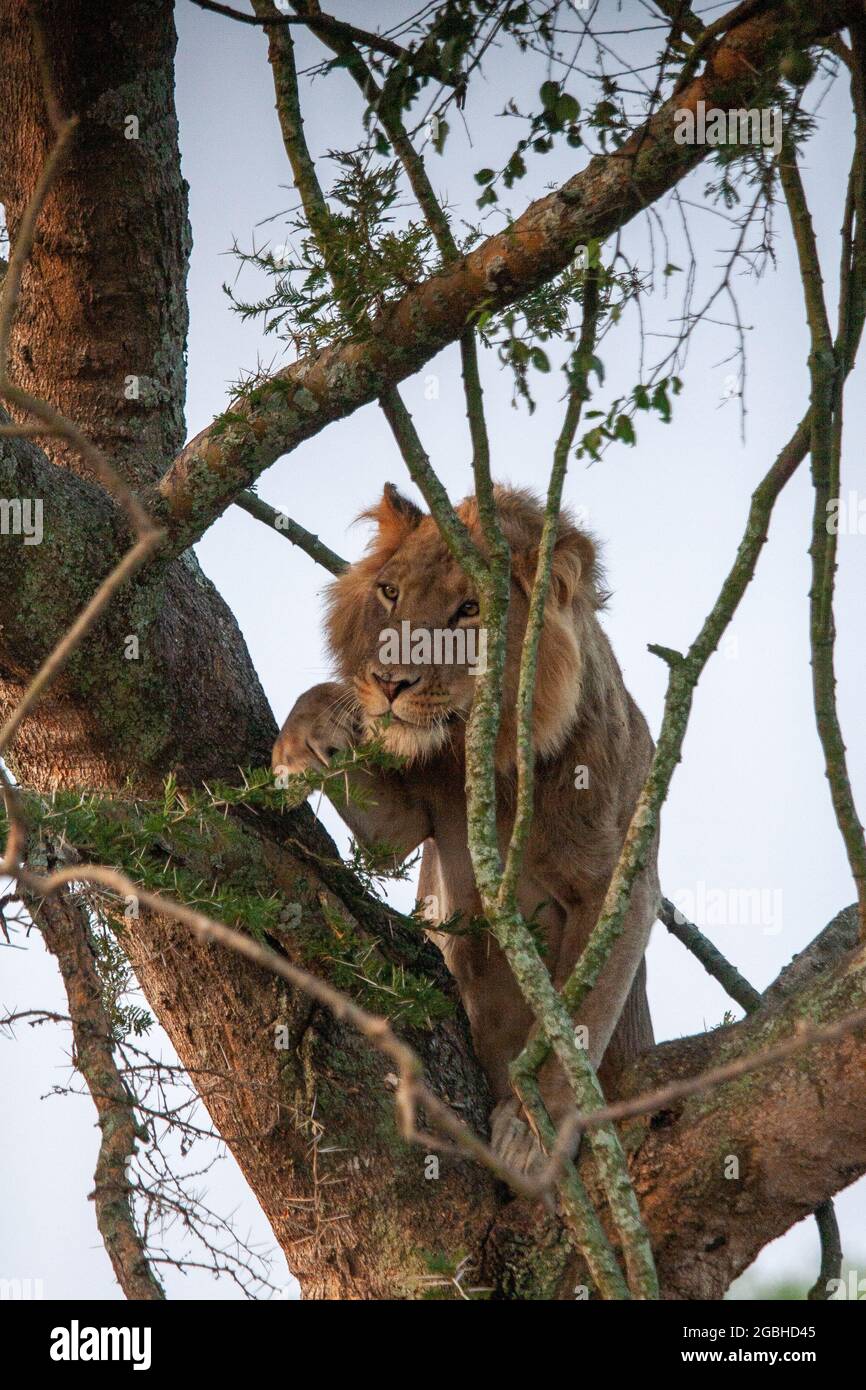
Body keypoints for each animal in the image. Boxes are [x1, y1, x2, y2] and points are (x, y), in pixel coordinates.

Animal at [272, 483, 659, 1169]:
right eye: (389, 593)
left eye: (470, 610)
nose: (388, 682)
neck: (494, 765)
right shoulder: (407, 823)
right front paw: (302, 742)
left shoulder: (621, 886)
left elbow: (577, 1020)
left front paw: (532, 1134)